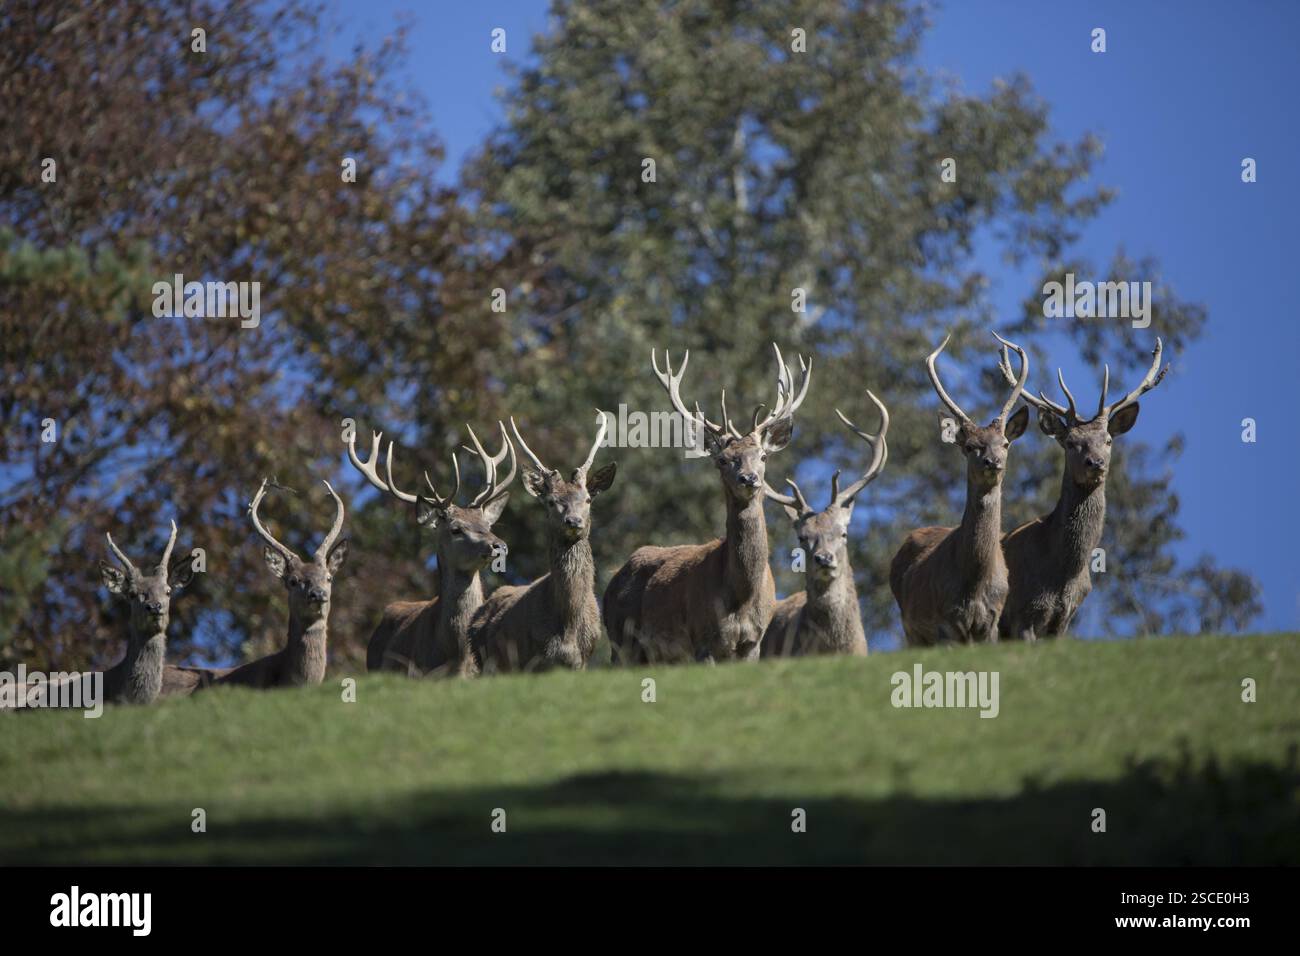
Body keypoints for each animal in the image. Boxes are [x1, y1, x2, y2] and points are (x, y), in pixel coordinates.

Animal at [469, 411, 617, 673]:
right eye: (551, 501)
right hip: (487, 662)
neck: (567, 632)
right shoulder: (535, 662)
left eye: (588, 499)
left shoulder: (583, 661)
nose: (574, 521)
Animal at [603, 343, 811, 664]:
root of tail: (611, 581)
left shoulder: (754, 642)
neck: (741, 596)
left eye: (763, 456)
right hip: (621, 643)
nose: (748, 478)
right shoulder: (703, 639)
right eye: (723, 460)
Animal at [889, 331, 1029, 646]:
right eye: (969, 446)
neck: (973, 586)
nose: (993, 462)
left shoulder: (993, 623)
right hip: (911, 630)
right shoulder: (946, 624)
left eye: (1005, 443)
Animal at [995, 338, 1169, 640]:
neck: (1062, 575)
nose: (1095, 462)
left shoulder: (1064, 619)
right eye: (1070, 442)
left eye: (1108, 439)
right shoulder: (1020, 615)